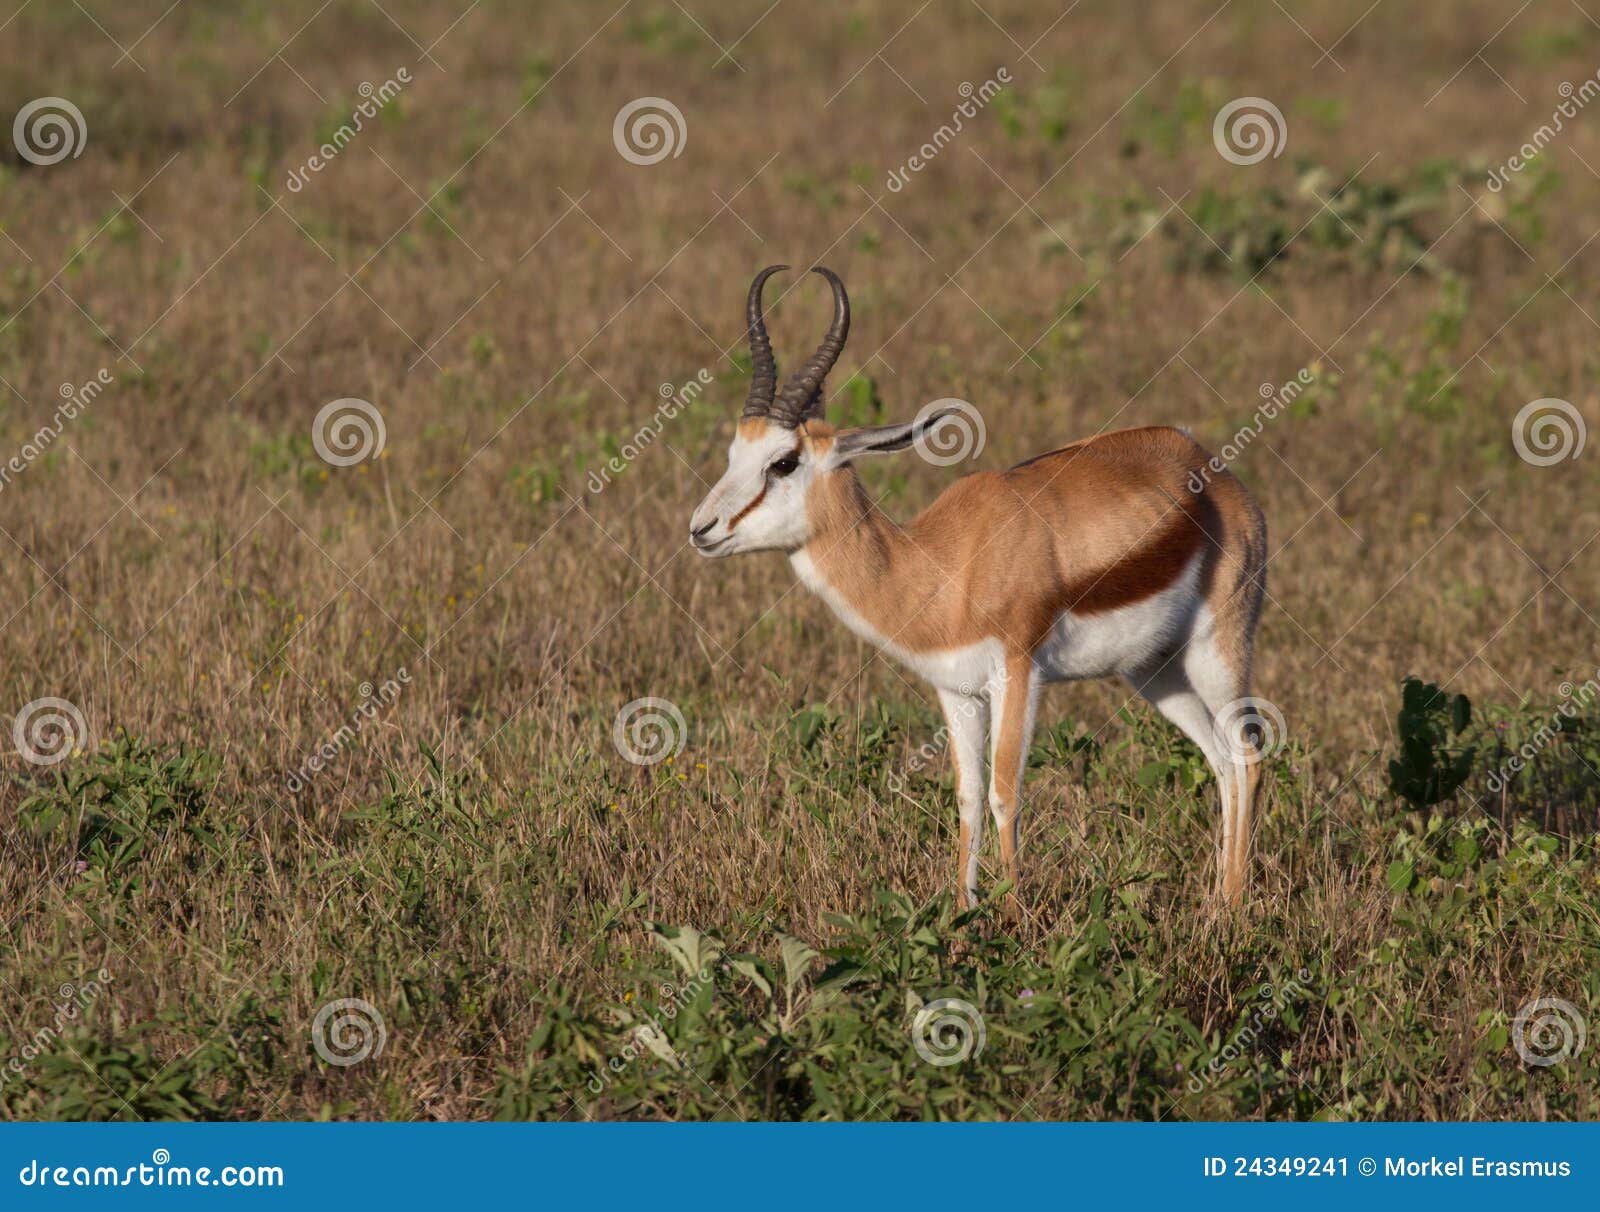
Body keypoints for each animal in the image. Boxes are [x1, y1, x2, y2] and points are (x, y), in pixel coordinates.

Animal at [689, 265, 1269, 911]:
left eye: (784, 462)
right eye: (734, 453)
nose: (702, 529)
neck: (946, 563)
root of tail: (1211, 467)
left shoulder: (1018, 672)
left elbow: (1004, 792)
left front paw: (1016, 917)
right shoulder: (957, 690)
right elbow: (967, 798)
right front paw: (963, 916)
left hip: (1218, 649)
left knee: (1246, 753)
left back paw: (1232, 911)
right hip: (1156, 670)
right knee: (1220, 760)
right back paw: (1216, 901)